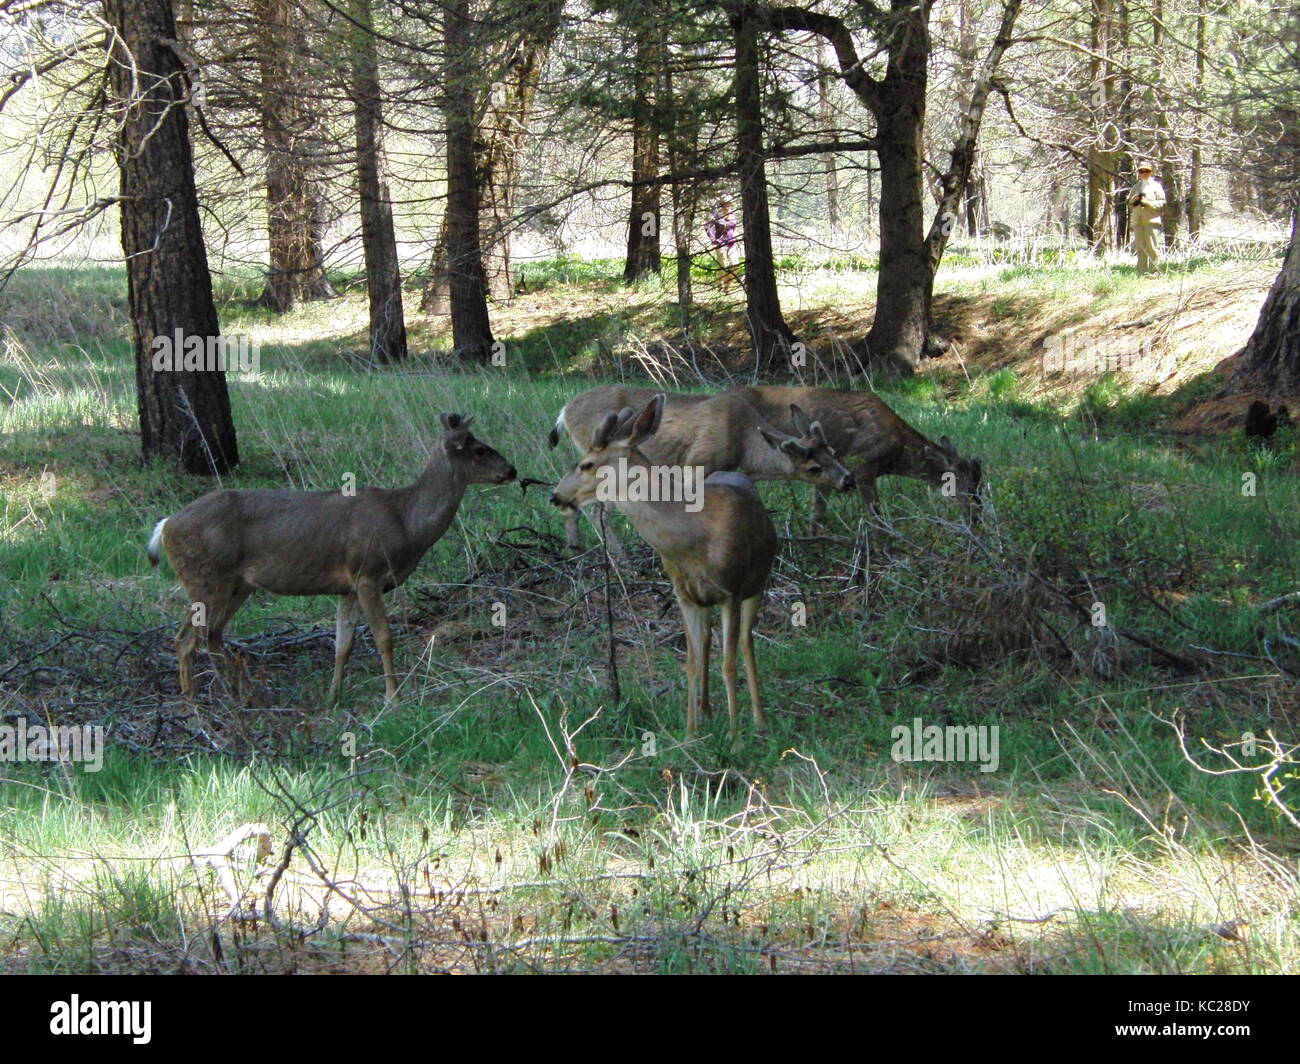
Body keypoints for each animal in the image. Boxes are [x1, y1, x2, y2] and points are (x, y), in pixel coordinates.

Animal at [146, 413, 517, 702]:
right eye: (479, 449)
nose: (512, 470)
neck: (406, 521)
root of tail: (166, 525)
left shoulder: (346, 587)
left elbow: (343, 644)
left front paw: (333, 696)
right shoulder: (368, 572)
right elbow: (384, 638)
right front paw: (393, 698)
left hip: (239, 585)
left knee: (212, 635)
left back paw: (244, 695)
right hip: (205, 578)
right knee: (185, 640)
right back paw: (194, 702)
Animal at [547, 384, 854, 549]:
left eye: (833, 452)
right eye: (814, 468)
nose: (847, 479)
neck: (744, 445)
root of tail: (564, 410)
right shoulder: (695, 464)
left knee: (573, 506)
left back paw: (575, 548)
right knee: (595, 511)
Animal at [552, 394, 777, 751]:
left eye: (587, 464)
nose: (556, 495)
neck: (692, 539)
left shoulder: (731, 590)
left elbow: (729, 665)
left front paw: (735, 738)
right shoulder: (684, 594)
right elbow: (691, 662)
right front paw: (690, 734)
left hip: (757, 584)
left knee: (745, 643)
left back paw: (759, 721)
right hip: (706, 600)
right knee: (709, 640)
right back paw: (707, 710)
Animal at [726, 386, 982, 530]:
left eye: (978, 485)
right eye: (965, 486)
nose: (977, 518)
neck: (897, 453)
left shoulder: (826, 474)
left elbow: (817, 512)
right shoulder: (863, 466)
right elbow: (876, 518)